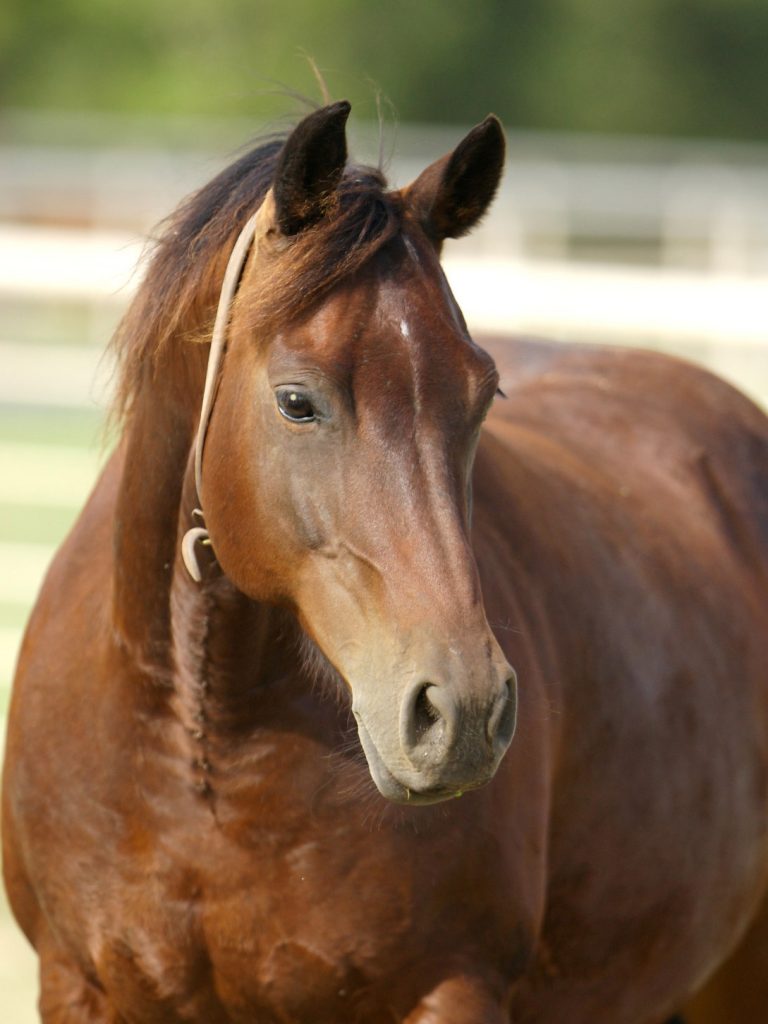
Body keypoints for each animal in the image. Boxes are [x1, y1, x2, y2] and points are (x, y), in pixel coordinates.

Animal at [3, 100, 768, 1024]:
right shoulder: (80, 987)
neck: (205, 760)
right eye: (298, 402)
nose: (462, 711)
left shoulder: (449, 988)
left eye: (482, 396)